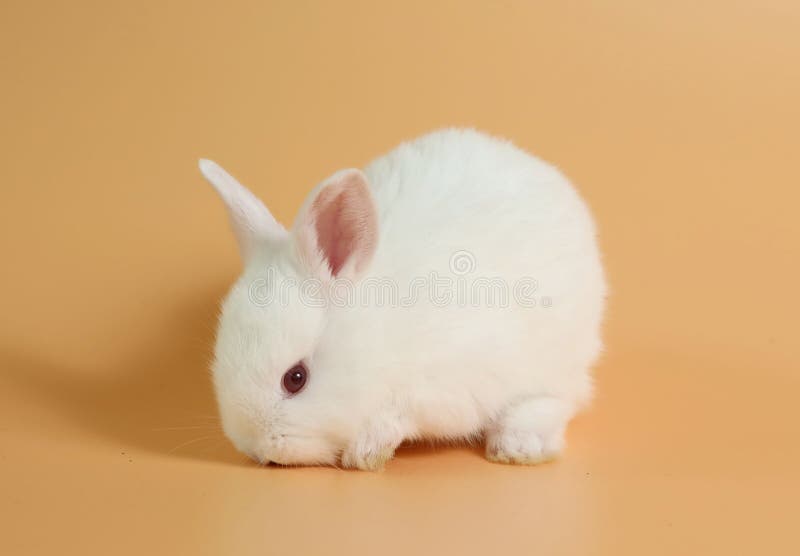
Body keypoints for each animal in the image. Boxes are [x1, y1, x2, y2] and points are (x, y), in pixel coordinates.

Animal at [199, 128, 606, 470]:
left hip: (559, 357)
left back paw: (518, 446)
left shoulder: (450, 381)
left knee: (559, 399)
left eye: (295, 378)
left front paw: (366, 451)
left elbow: (402, 413)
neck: (377, 336)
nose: (258, 449)